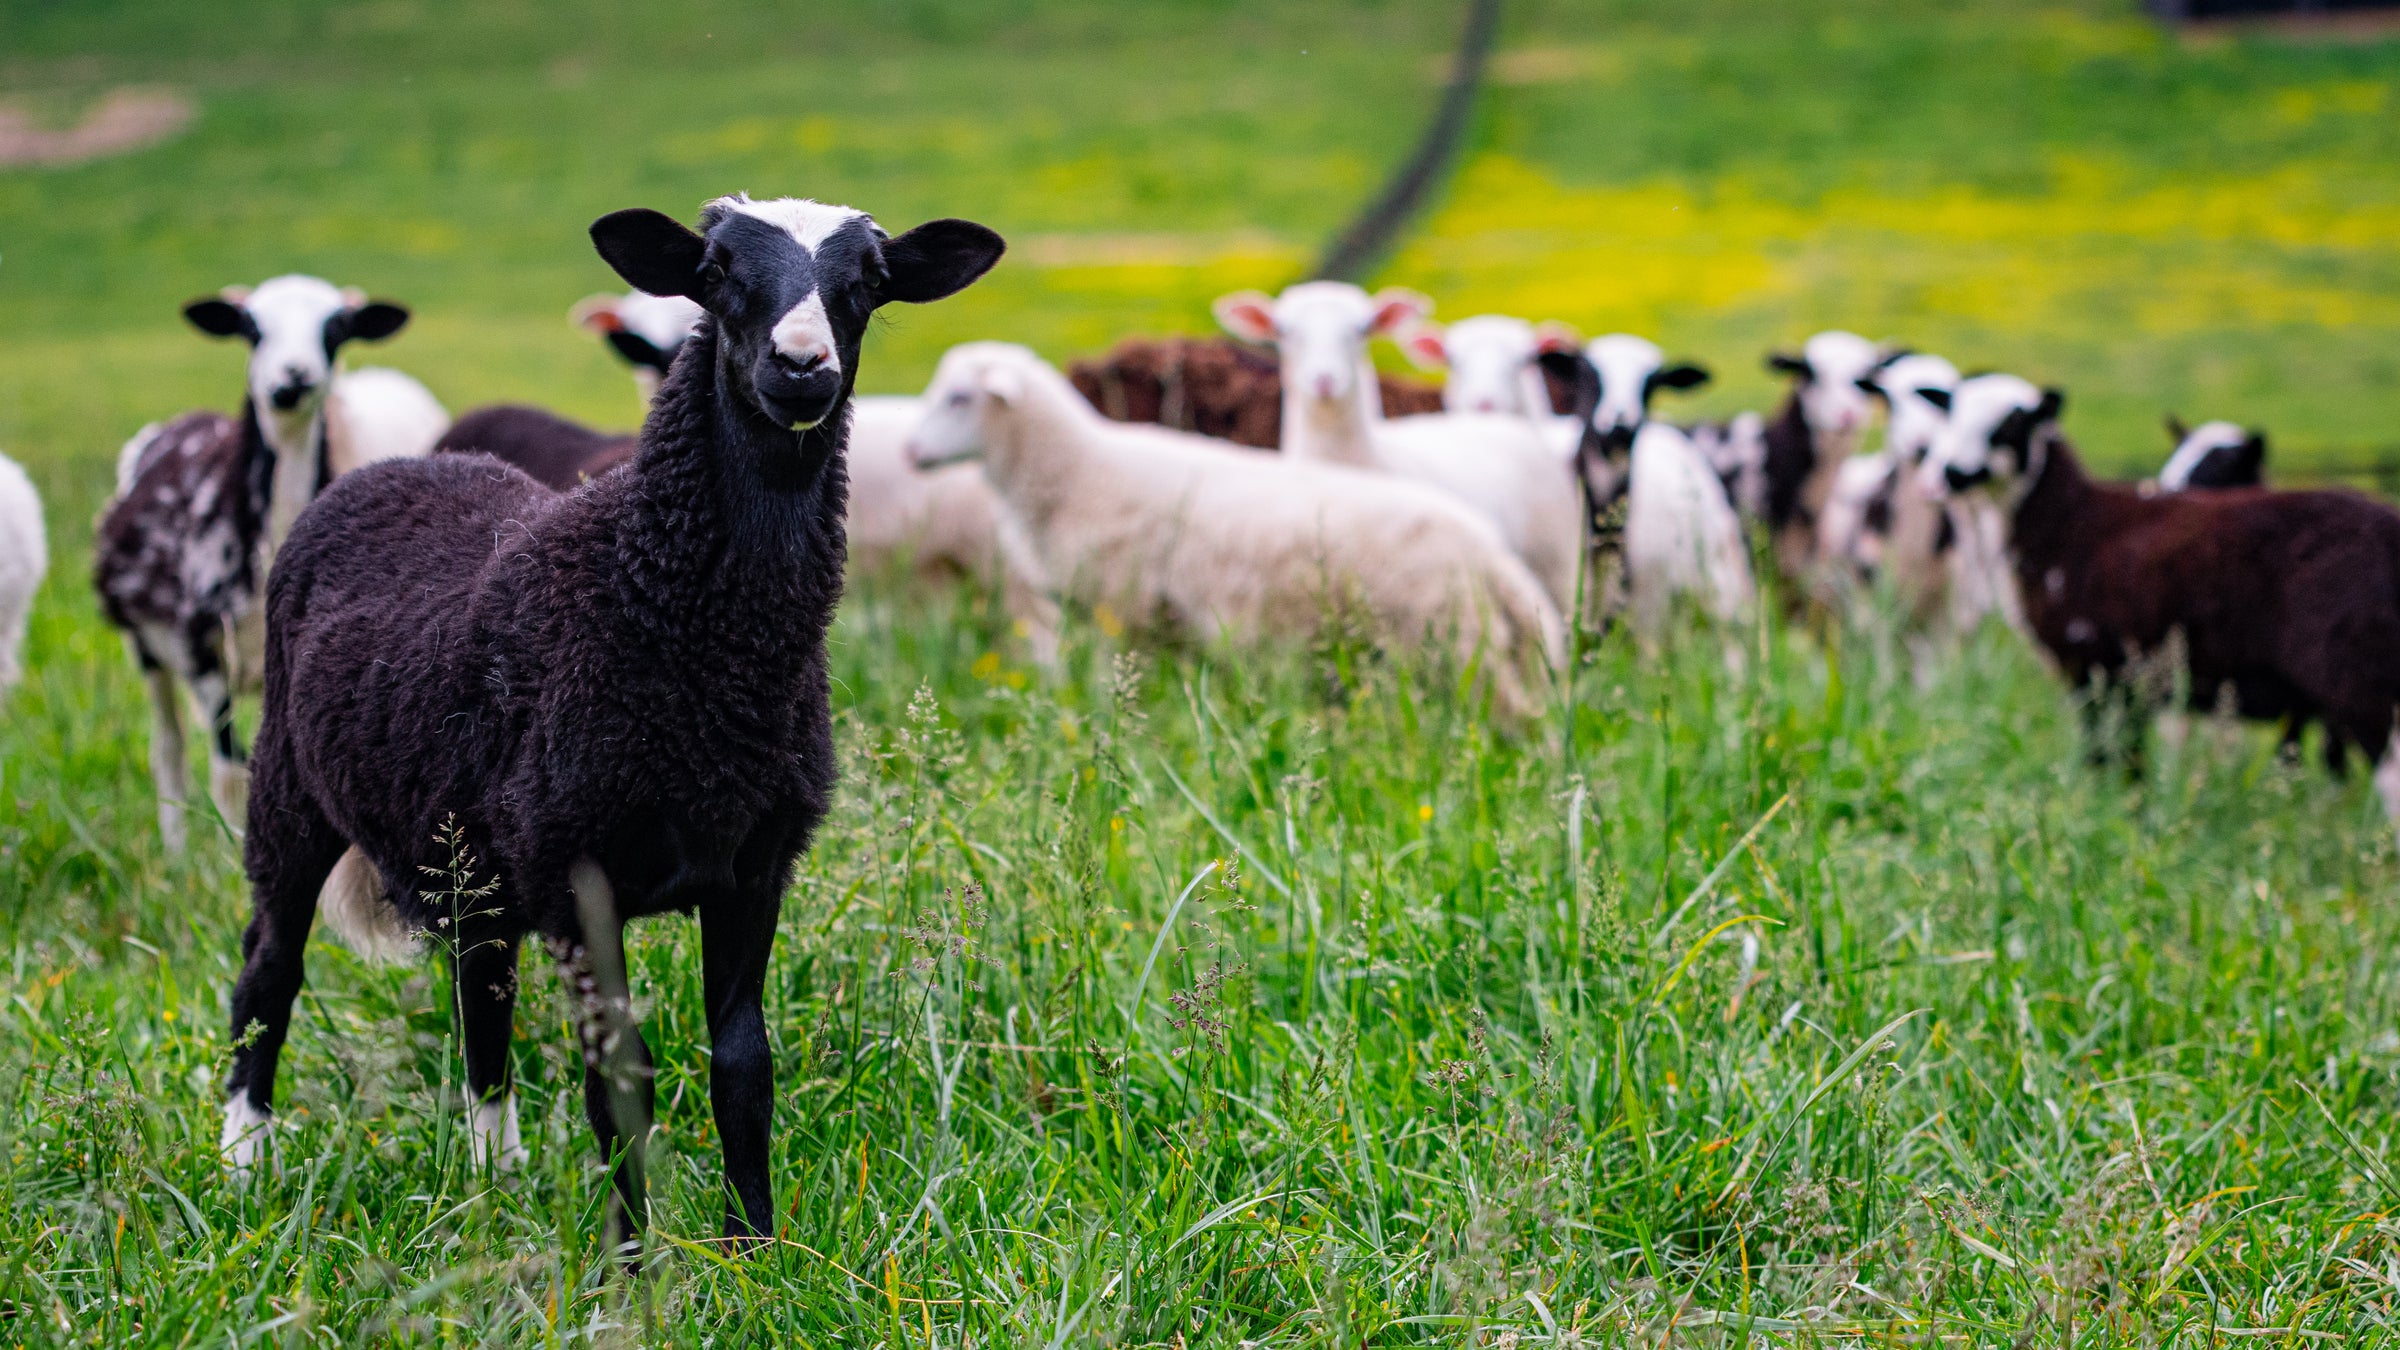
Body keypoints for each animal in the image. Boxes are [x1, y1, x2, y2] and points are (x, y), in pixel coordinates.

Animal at [93, 277, 421, 850]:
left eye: (337, 327)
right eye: (251, 328)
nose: (292, 380)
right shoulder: (204, 653)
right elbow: (229, 771)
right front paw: (224, 861)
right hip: (147, 649)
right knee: (169, 749)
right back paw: (175, 851)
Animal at [222, 196, 1007, 1251]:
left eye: (870, 284)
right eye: (716, 273)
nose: (802, 365)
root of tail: (388, 470)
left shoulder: (754, 863)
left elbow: (743, 1063)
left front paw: (754, 1250)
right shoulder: (577, 874)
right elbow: (617, 1076)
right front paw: (632, 1261)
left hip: (473, 848)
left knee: (482, 990)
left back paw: (496, 1176)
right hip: (291, 793)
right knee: (269, 970)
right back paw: (244, 1160)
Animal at [905, 342, 1564, 718]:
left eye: (958, 397)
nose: (911, 452)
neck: (1077, 471)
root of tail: (1490, 555)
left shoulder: (1122, 610)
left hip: (1453, 647)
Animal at [1918, 374, 2400, 833]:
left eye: (2010, 424)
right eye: (1950, 413)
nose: (1948, 473)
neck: (2067, 524)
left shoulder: (2097, 668)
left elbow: (2109, 756)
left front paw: (2112, 811)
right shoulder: (2132, 682)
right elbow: (2127, 762)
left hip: (2361, 681)